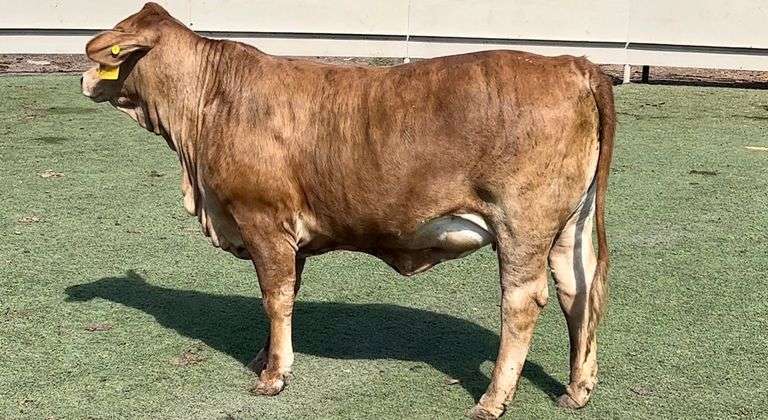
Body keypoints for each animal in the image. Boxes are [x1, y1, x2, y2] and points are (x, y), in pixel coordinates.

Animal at [80, 3, 615, 418]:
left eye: (114, 47)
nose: (84, 76)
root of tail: (570, 63)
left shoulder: (262, 221)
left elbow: (275, 297)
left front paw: (273, 377)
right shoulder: (286, 235)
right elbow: (286, 293)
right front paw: (264, 358)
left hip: (522, 222)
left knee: (522, 301)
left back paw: (492, 400)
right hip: (569, 223)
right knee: (578, 288)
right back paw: (576, 390)